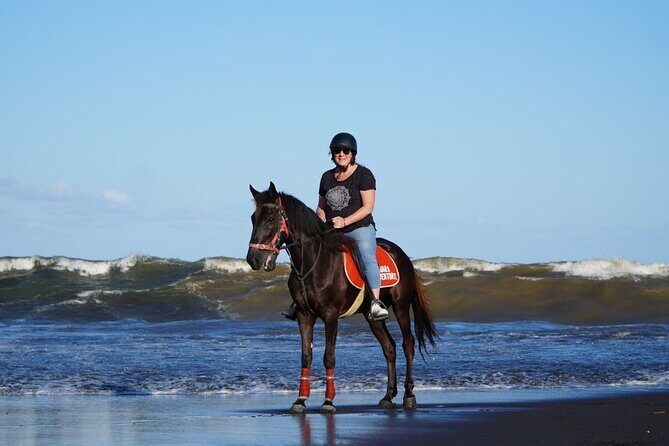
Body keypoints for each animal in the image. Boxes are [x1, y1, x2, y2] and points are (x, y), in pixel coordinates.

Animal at [246, 182, 437, 414]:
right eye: (253, 218)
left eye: (271, 218)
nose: (253, 259)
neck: (314, 263)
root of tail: (403, 256)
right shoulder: (304, 315)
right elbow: (306, 357)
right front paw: (300, 400)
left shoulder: (331, 315)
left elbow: (329, 357)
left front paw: (328, 402)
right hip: (372, 317)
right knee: (389, 348)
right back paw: (388, 396)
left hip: (401, 307)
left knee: (407, 344)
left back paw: (409, 395)